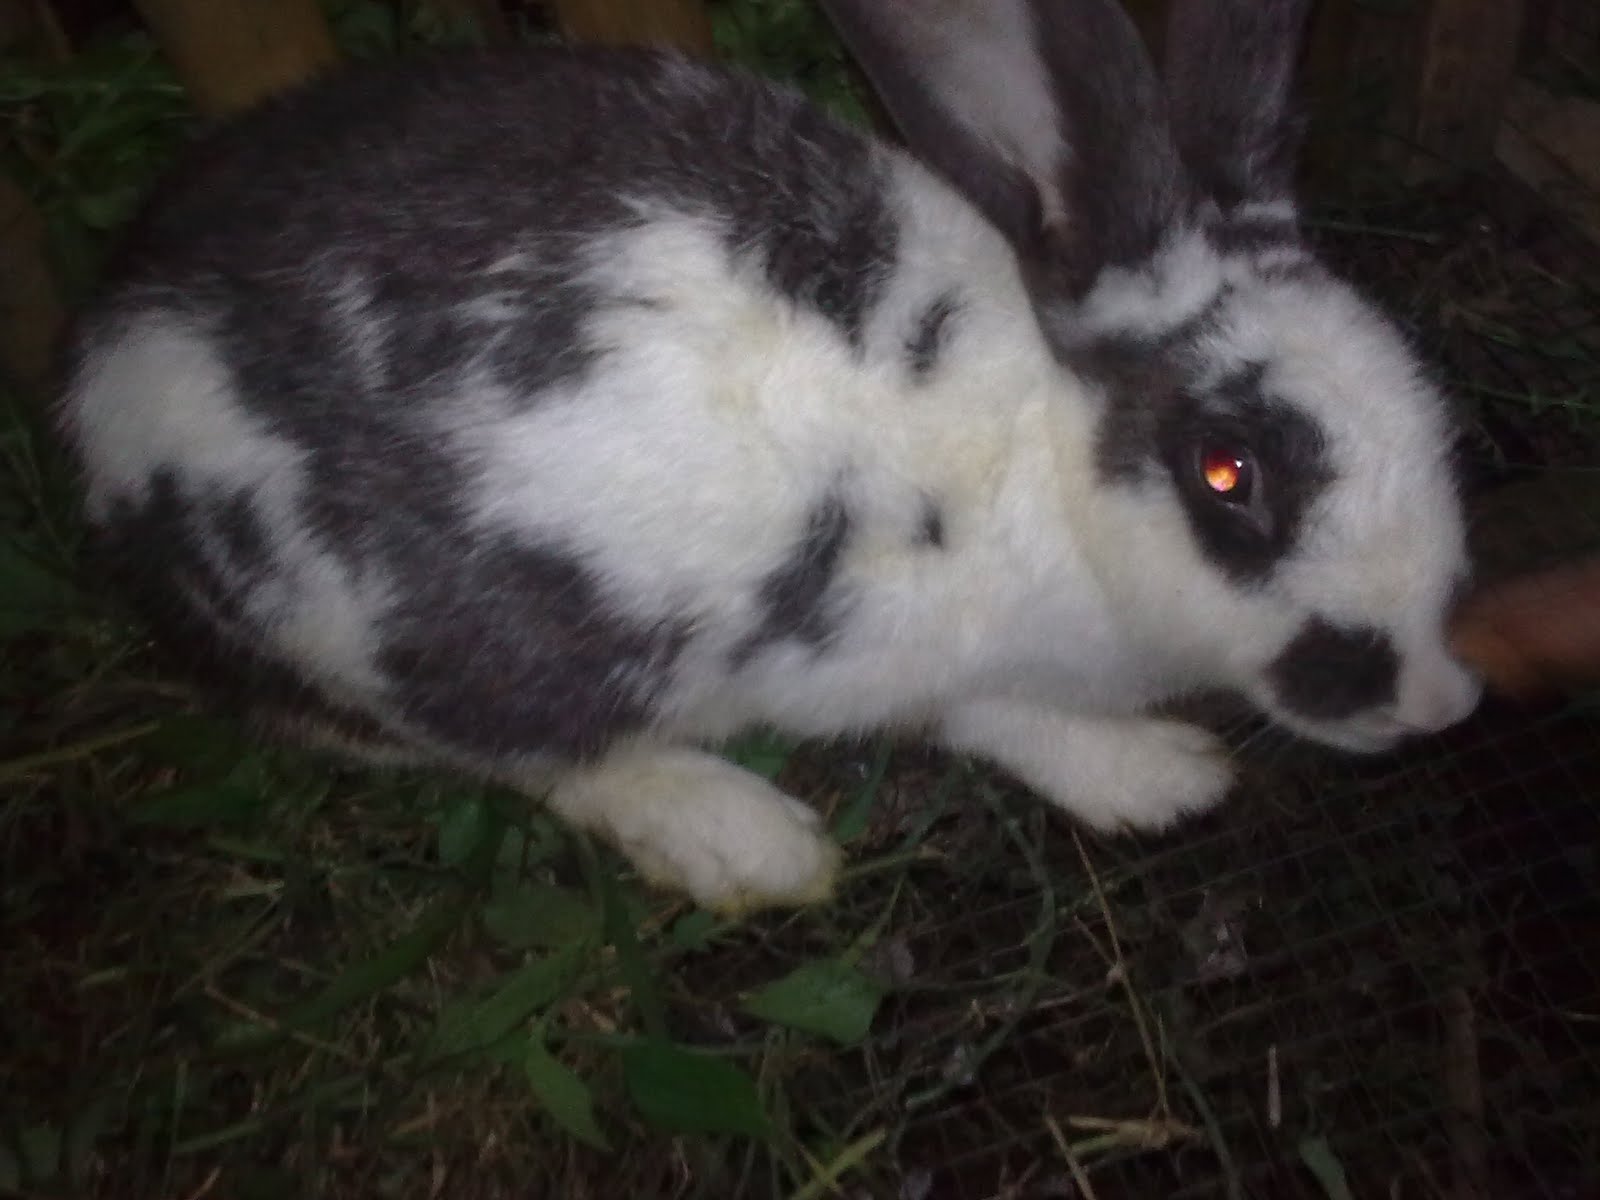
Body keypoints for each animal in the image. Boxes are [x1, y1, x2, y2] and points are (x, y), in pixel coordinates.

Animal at [57, 0, 1482, 914]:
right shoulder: (881, 648)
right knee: (518, 753)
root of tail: (94, 385)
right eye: (1229, 472)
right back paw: (747, 845)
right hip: (419, 638)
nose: (1434, 704)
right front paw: (1160, 781)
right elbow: (994, 716)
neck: (1041, 454)